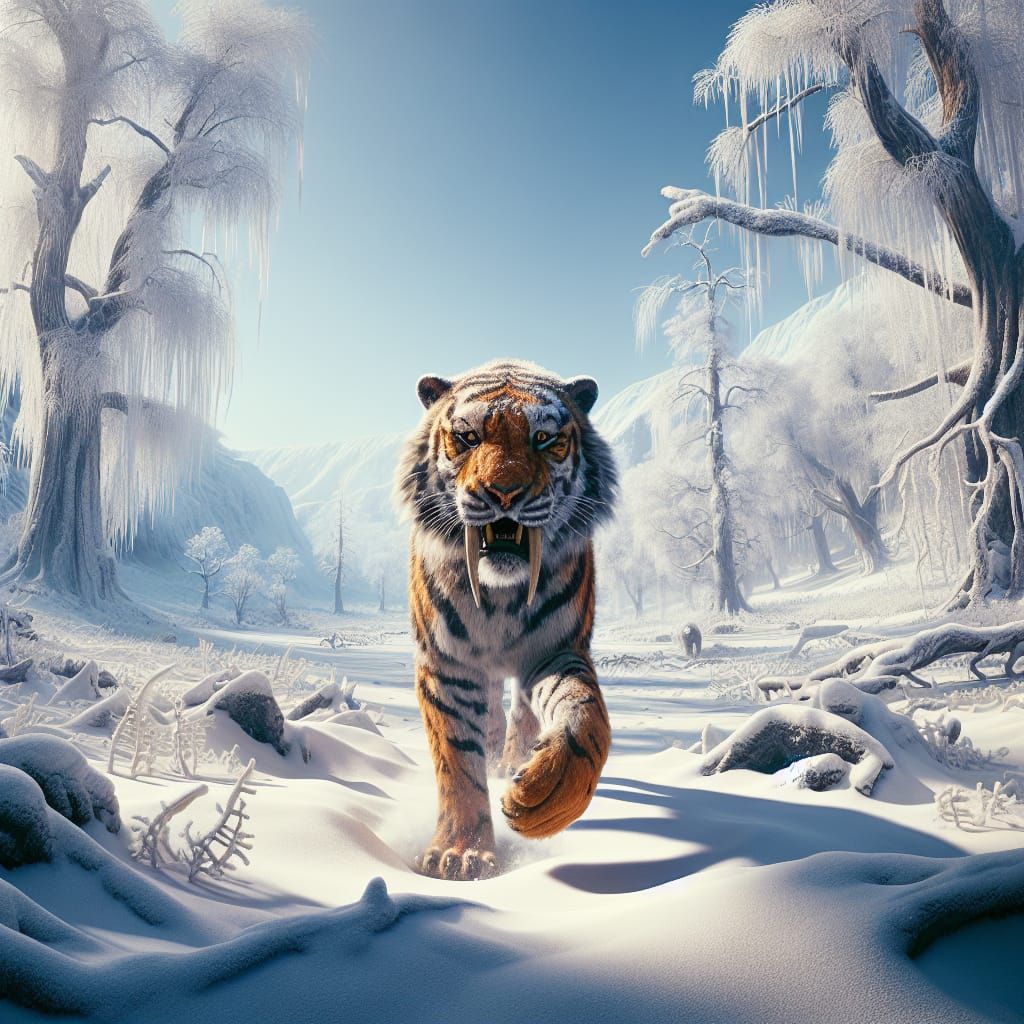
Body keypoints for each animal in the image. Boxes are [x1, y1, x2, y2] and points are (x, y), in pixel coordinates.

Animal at [397, 358, 618, 880]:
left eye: (543, 438)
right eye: (468, 436)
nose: (504, 493)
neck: (500, 598)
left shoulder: (556, 649)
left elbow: (582, 717)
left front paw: (546, 792)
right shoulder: (448, 664)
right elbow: (457, 760)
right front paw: (460, 853)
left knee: (521, 712)